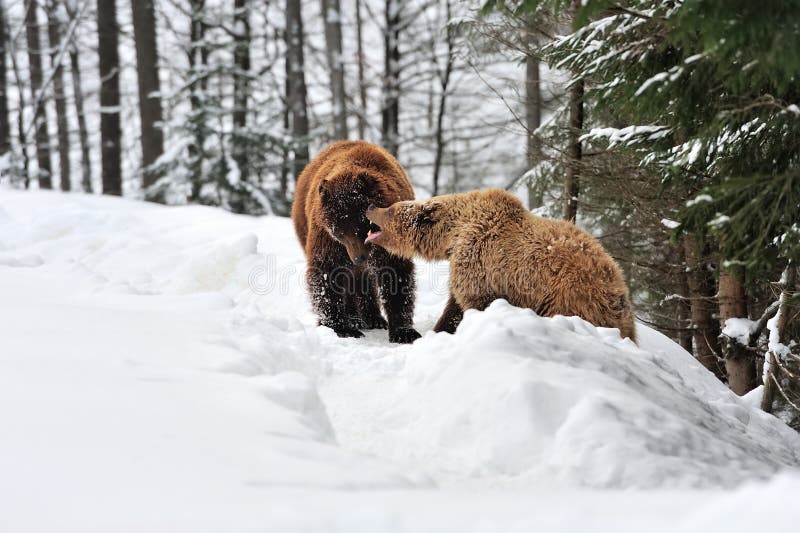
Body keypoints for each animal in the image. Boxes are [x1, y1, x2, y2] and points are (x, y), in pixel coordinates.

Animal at [291, 140, 421, 343]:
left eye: (363, 226)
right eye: (339, 232)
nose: (359, 258)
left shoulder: (389, 239)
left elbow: (395, 274)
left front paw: (404, 331)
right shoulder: (327, 237)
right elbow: (327, 271)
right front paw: (340, 327)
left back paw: (374, 318)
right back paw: (354, 318)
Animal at [365, 188, 636, 341]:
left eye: (391, 209)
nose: (370, 206)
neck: (453, 234)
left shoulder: (479, 259)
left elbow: (469, 302)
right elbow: (455, 305)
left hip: (568, 295)